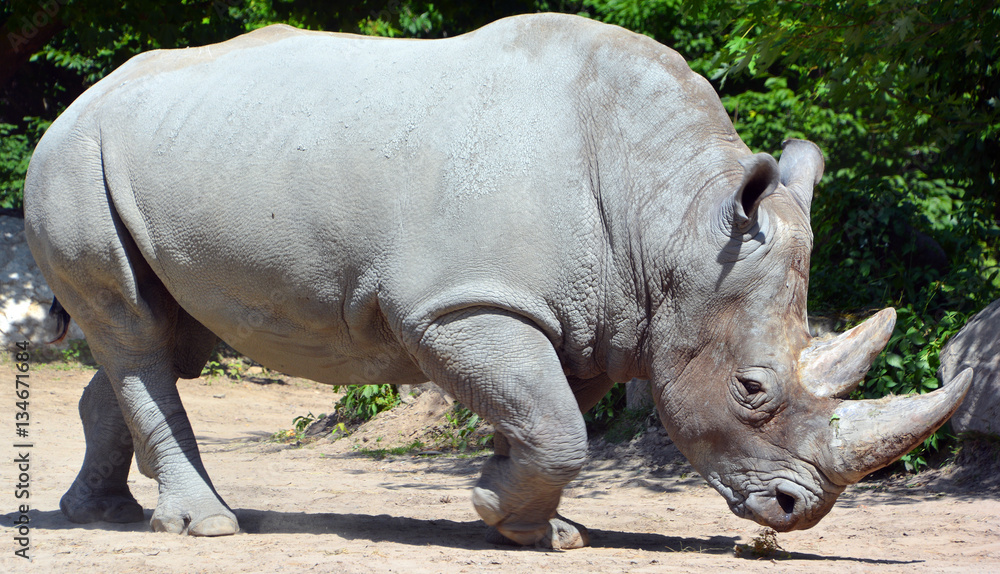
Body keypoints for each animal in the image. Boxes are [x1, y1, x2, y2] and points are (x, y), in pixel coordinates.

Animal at [24, 13, 971, 548]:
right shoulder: (461, 303)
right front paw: (499, 509)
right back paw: (206, 528)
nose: (796, 510)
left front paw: (531, 525)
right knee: (137, 334)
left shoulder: (592, 317)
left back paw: (100, 518)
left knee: (165, 337)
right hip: (72, 160)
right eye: (751, 389)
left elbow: (555, 418)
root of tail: (76, 101)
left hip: (172, 158)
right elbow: (559, 427)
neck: (670, 220)